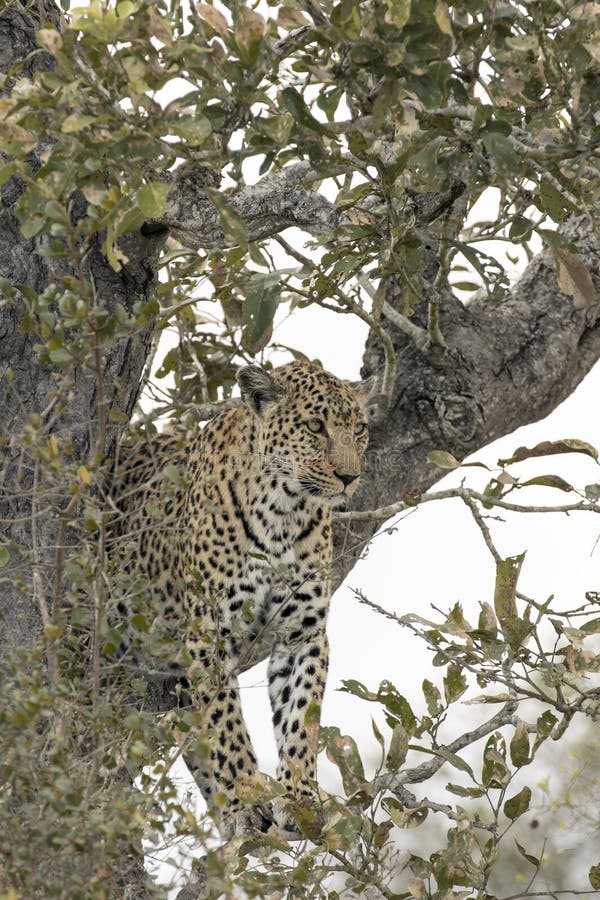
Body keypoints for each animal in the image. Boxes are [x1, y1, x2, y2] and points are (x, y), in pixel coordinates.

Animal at [114, 361, 374, 839]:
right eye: (316, 426)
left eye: (359, 429)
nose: (350, 477)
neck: (284, 512)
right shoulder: (210, 633)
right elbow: (226, 721)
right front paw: (247, 799)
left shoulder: (301, 633)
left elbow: (301, 717)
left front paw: (299, 796)